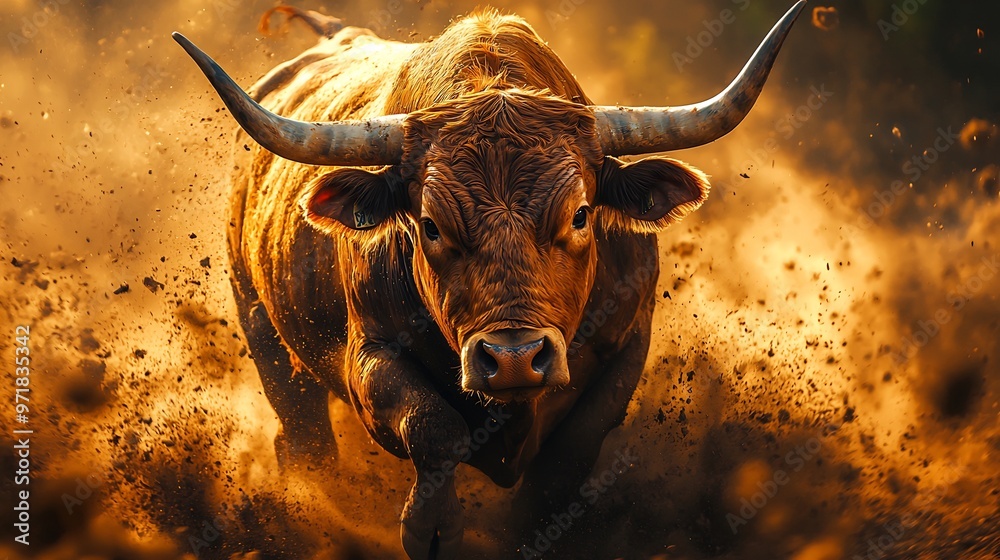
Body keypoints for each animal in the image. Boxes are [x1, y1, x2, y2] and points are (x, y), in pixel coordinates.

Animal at [174, 2, 803, 558]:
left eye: (580, 214)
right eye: (429, 225)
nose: (514, 358)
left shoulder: (625, 351)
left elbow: (566, 462)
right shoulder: (369, 357)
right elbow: (435, 428)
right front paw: (430, 530)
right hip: (265, 336)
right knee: (306, 443)